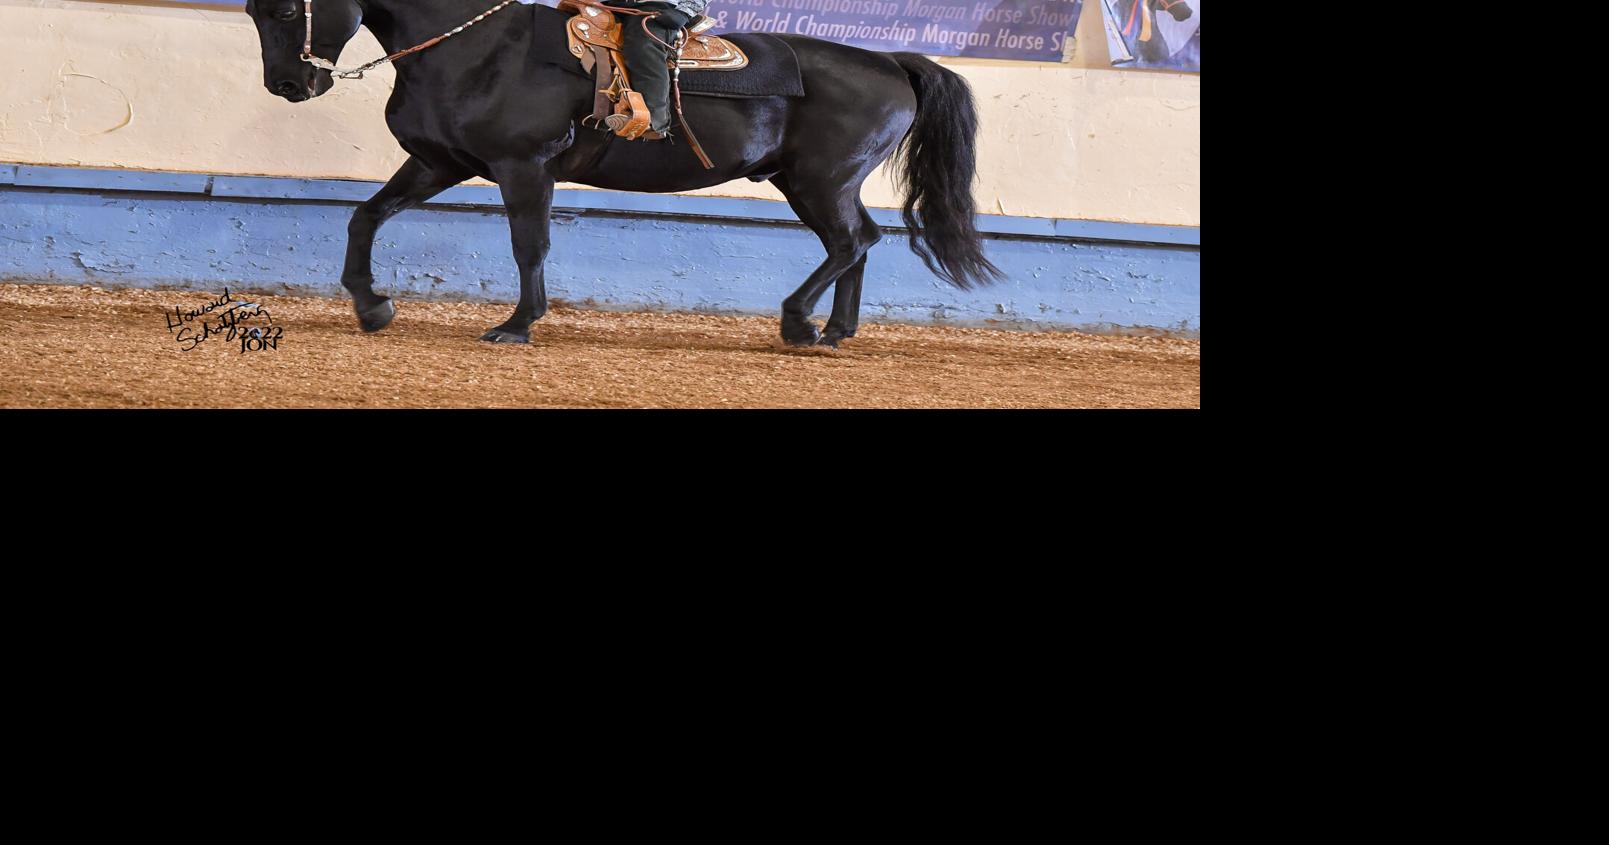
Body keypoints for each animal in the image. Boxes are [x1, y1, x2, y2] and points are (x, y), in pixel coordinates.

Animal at [242, 0, 1002, 347]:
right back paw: (834, 330)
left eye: (285, 8)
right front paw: (372, 307)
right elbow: (365, 216)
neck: (477, 48)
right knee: (858, 241)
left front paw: (516, 324)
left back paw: (796, 322)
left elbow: (529, 245)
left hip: (820, 180)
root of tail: (890, 61)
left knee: (852, 241)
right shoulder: (438, 162)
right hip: (815, 182)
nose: (286, 85)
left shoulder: (524, 167)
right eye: (251, 9)